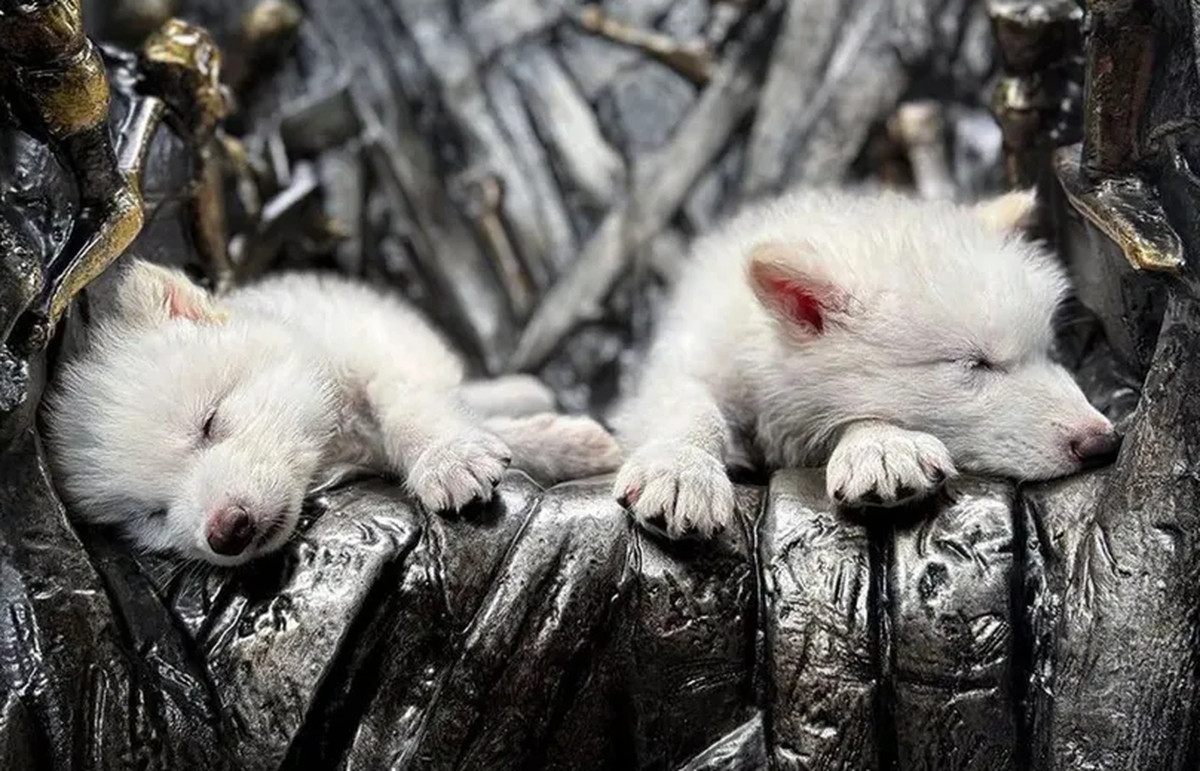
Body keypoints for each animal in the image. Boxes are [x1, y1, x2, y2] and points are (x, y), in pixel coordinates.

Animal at [43, 260, 621, 566]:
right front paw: (561, 445)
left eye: (209, 423)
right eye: (153, 515)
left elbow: (410, 410)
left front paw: (447, 457)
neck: (332, 440)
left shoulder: (384, 355)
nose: (225, 531)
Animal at [611, 187, 1120, 538]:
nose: (1104, 443)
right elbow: (690, 405)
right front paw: (680, 468)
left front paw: (880, 445)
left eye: (1047, 352)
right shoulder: (689, 358)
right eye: (975, 363)